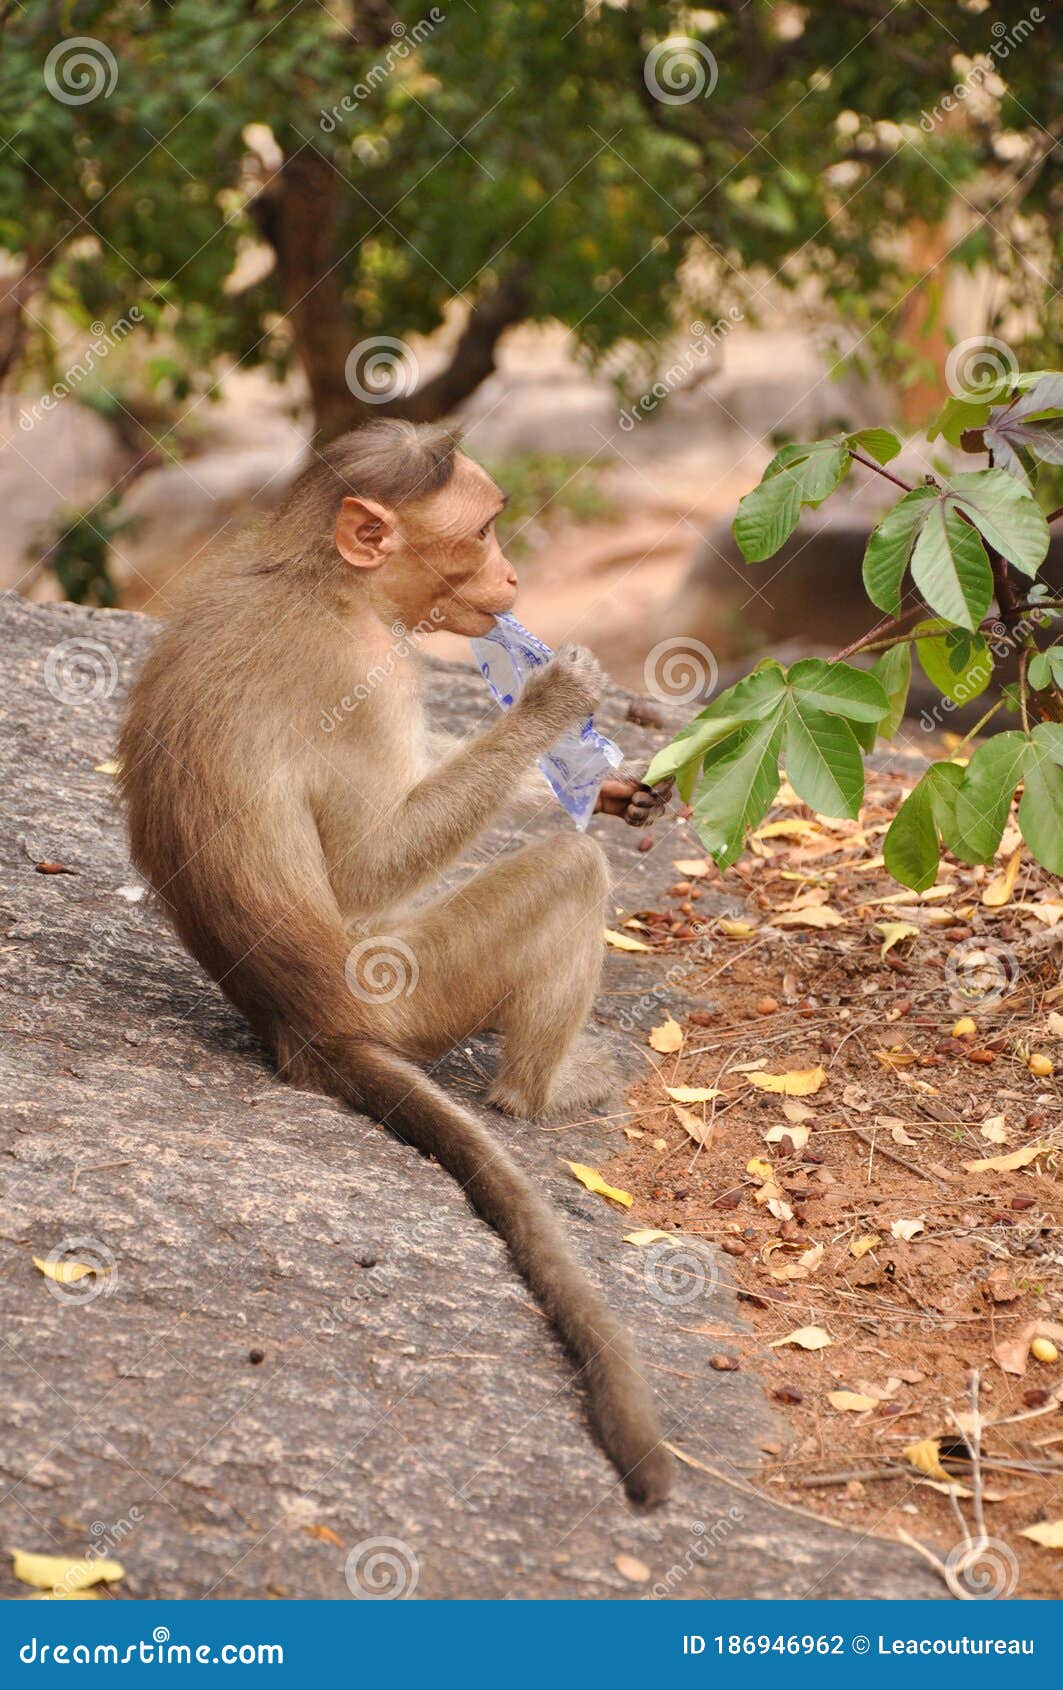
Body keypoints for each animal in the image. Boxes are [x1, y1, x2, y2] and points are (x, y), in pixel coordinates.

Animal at [118, 419, 673, 1507]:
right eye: (487, 527)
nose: (512, 572)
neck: (330, 583)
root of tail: (310, 1028)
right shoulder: (364, 670)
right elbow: (368, 863)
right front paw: (554, 702)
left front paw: (611, 783)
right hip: (415, 986)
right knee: (567, 876)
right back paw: (540, 1090)